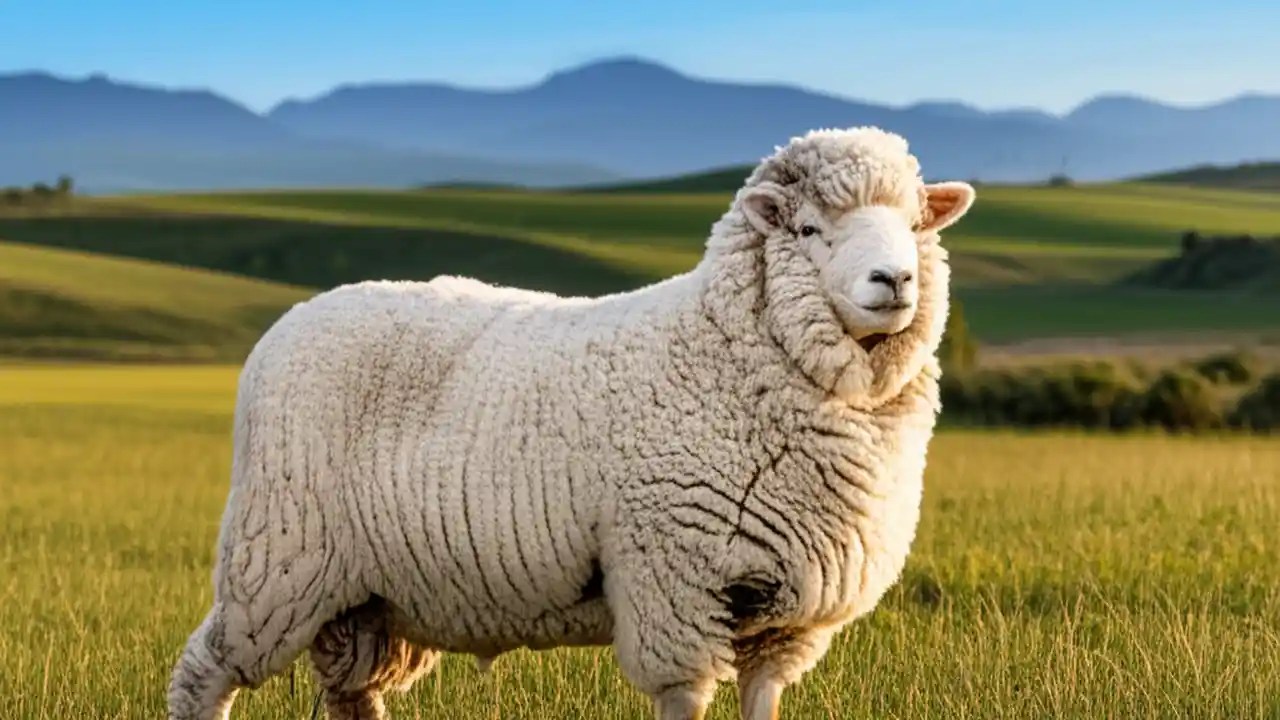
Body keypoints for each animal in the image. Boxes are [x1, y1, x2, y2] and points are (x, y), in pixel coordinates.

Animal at [167, 126, 975, 720]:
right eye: (809, 229)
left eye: (913, 225)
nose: (894, 280)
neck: (725, 348)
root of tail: (292, 320)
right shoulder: (673, 588)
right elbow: (684, 699)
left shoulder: (782, 617)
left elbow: (763, 704)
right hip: (278, 558)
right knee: (203, 673)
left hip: (364, 597)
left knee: (350, 695)